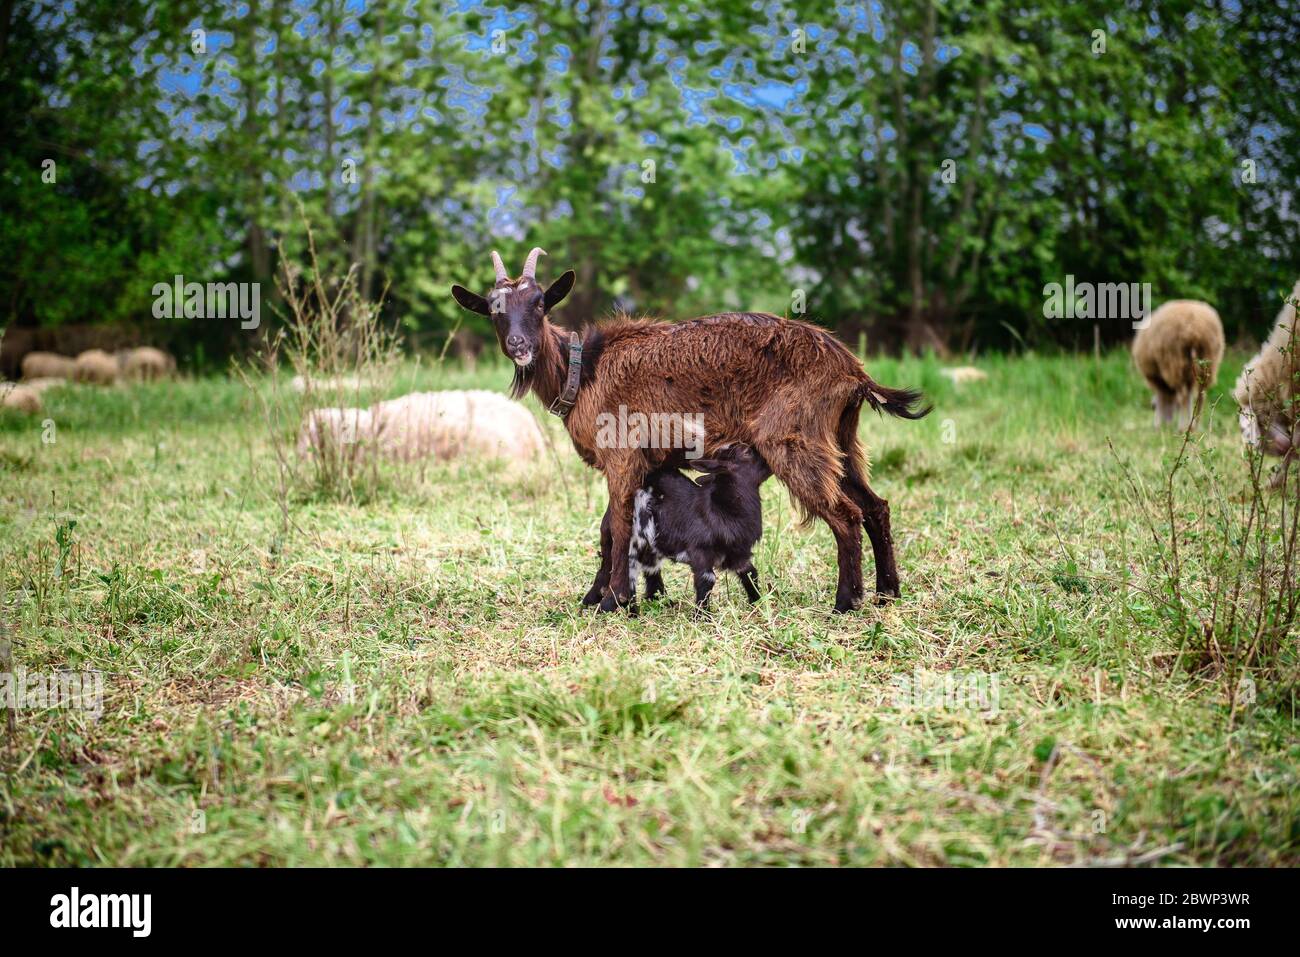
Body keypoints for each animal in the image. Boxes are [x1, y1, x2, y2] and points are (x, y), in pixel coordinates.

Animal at [626, 443, 771, 611]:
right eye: (746, 452)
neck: (723, 511)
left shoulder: (738, 554)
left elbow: (749, 573)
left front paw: (757, 602)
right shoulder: (700, 551)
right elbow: (707, 579)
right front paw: (702, 614)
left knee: (651, 567)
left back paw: (661, 601)